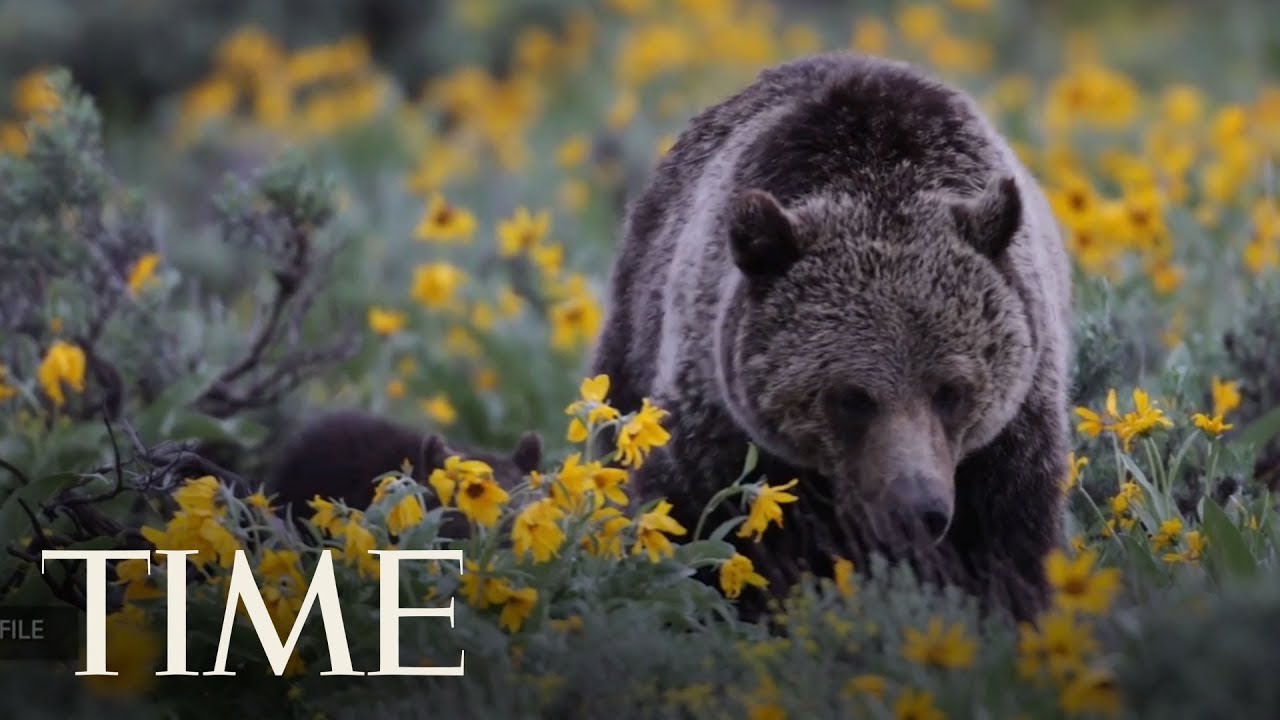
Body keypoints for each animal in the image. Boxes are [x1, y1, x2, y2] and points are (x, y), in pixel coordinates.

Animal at [590, 53, 1072, 622]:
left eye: (951, 390)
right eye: (852, 398)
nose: (918, 510)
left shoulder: (1012, 434)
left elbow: (1009, 547)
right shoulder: (716, 411)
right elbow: (697, 518)